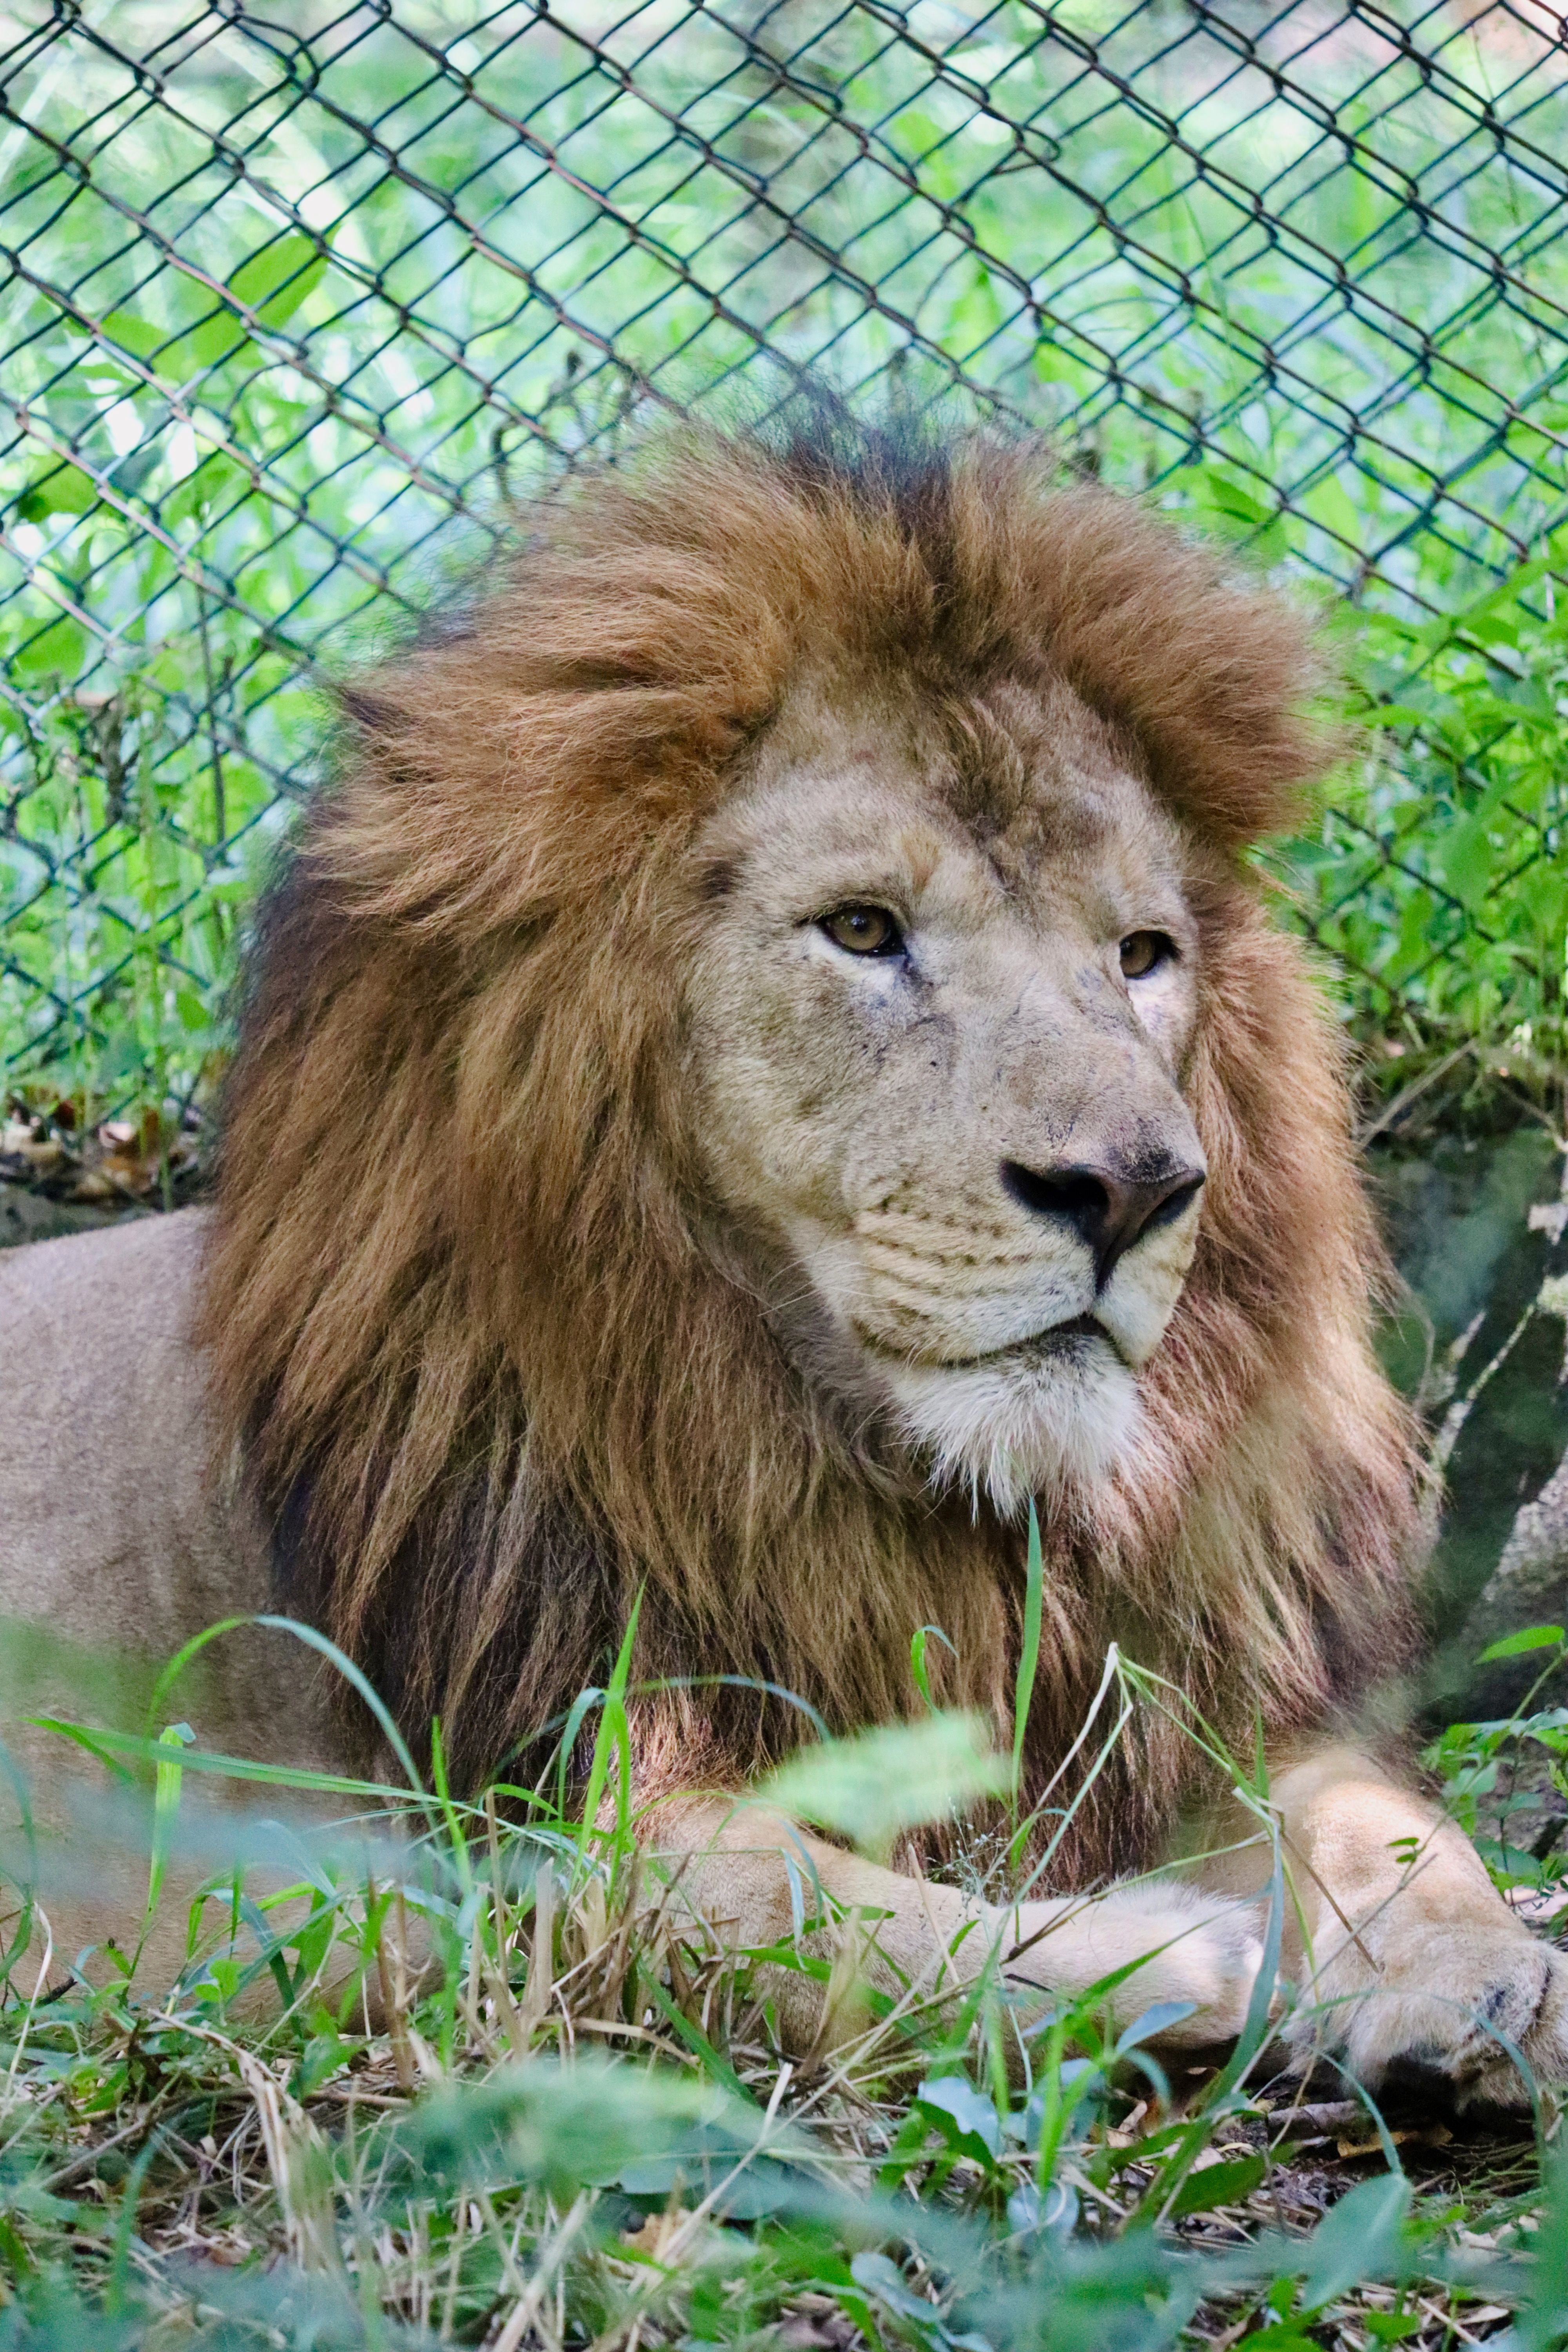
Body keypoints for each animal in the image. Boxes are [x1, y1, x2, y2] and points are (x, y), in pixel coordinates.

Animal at [2, 416, 1564, 2104]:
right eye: (863, 931)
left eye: (1143, 956)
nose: (1136, 1190)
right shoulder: (525, 1809)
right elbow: (768, 1898)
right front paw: (1169, 1962)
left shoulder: (1183, 1704)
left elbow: (1391, 1829)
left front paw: (1484, 1982)